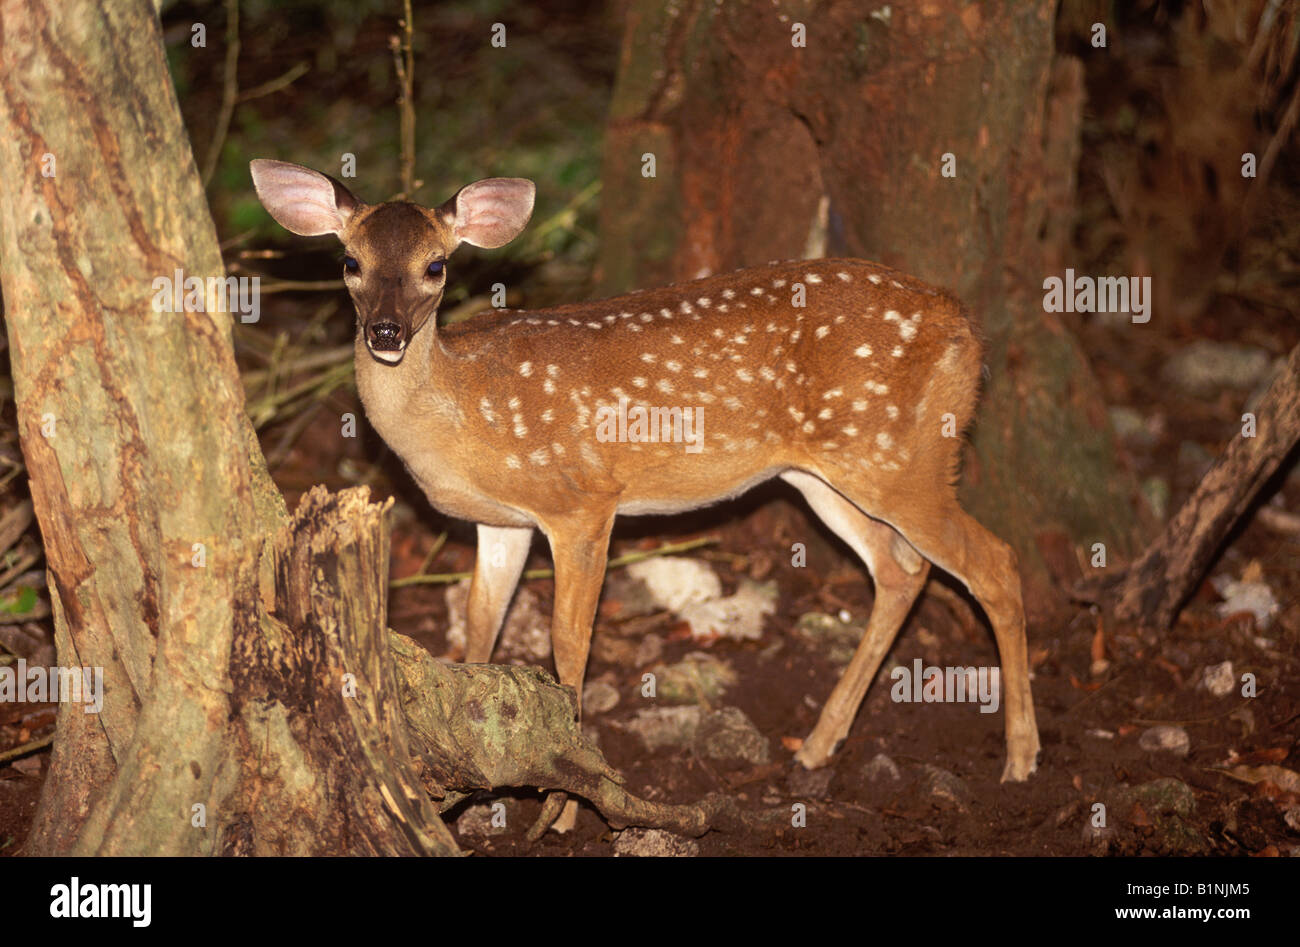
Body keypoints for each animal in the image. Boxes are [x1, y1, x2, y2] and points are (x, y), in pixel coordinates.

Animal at [250, 159, 1041, 832]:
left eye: (436, 266)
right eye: (350, 261)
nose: (384, 332)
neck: (462, 409)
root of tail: (965, 326)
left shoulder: (580, 499)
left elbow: (570, 642)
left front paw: (563, 806)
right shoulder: (503, 522)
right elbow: (478, 633)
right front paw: (476, 787)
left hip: (900, 454)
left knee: (995, 562)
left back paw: (1022, 759)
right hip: (825, 470)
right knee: (901, 569)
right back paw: (817, 748)